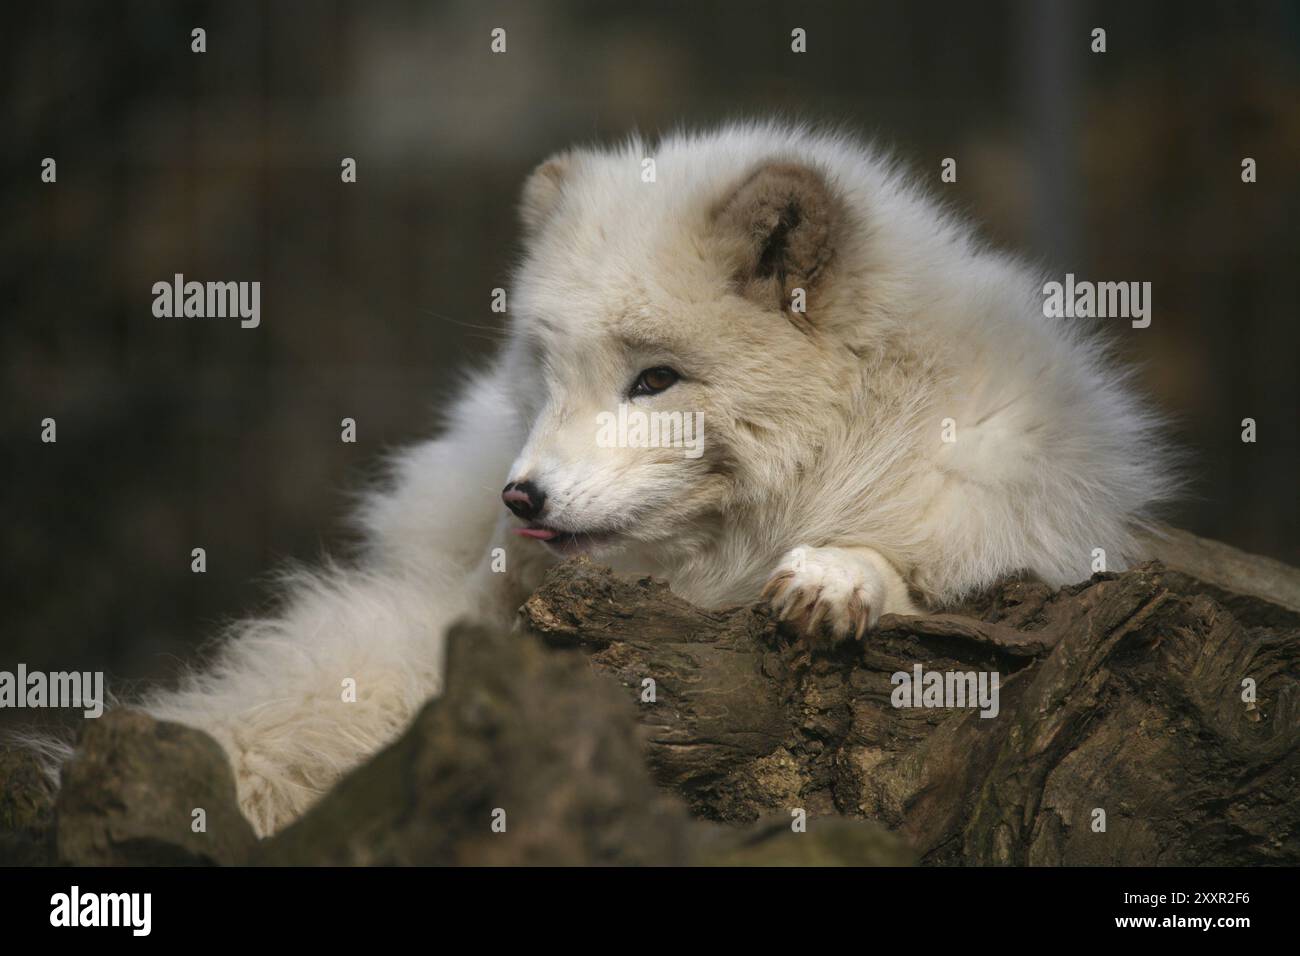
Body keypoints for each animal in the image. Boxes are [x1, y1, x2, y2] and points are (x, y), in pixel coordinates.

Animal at [21, 122, 1175, 837]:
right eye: (548, 372)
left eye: (654, 378)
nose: (520, 500)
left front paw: (837, 575)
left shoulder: (1028, 503)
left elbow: (922, 558)